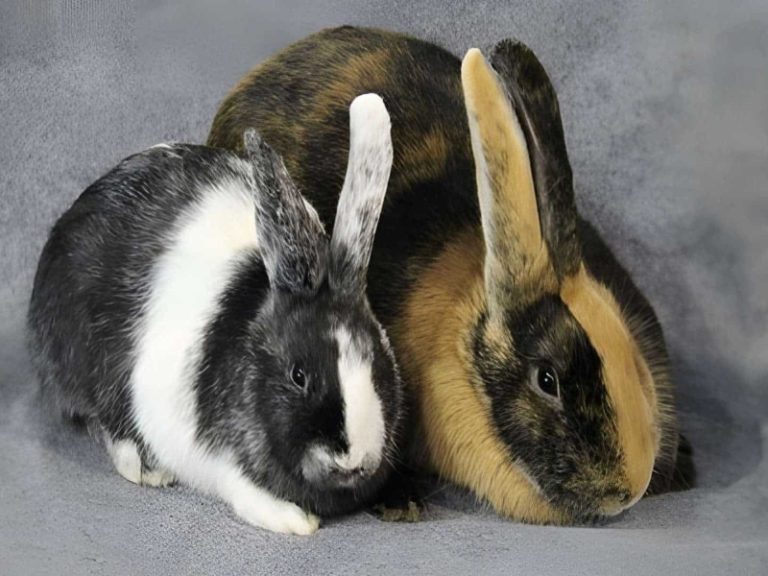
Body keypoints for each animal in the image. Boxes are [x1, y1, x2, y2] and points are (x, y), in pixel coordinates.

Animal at [27, 93, 405, 535]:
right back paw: (147, 469)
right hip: (92, 365)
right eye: (298, 376)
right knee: (105, 422)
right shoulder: (217, 460)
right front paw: (297, 521)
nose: (353, 459)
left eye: (379, 364)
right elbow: (245, 491)